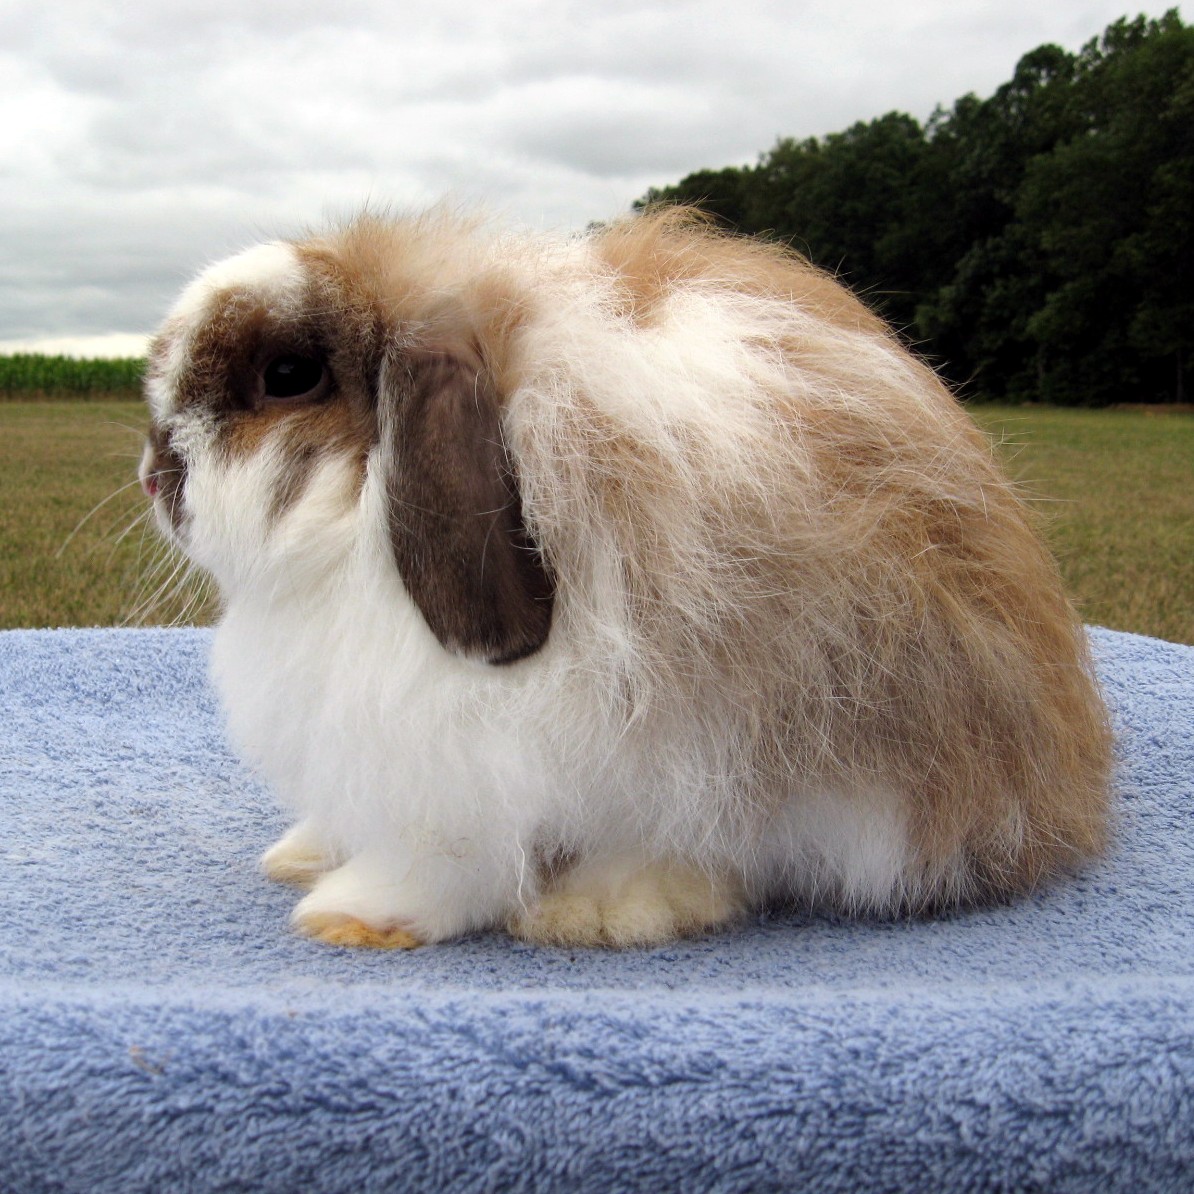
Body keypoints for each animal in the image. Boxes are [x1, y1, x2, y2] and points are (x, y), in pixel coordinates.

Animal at [139, 206, 1113, 949]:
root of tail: (1049, 804)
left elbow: (440, 862)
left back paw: (597, 908)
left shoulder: (457, 769)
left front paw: (350, 913)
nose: (155, 474)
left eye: (287, 375)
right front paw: (303, 853)